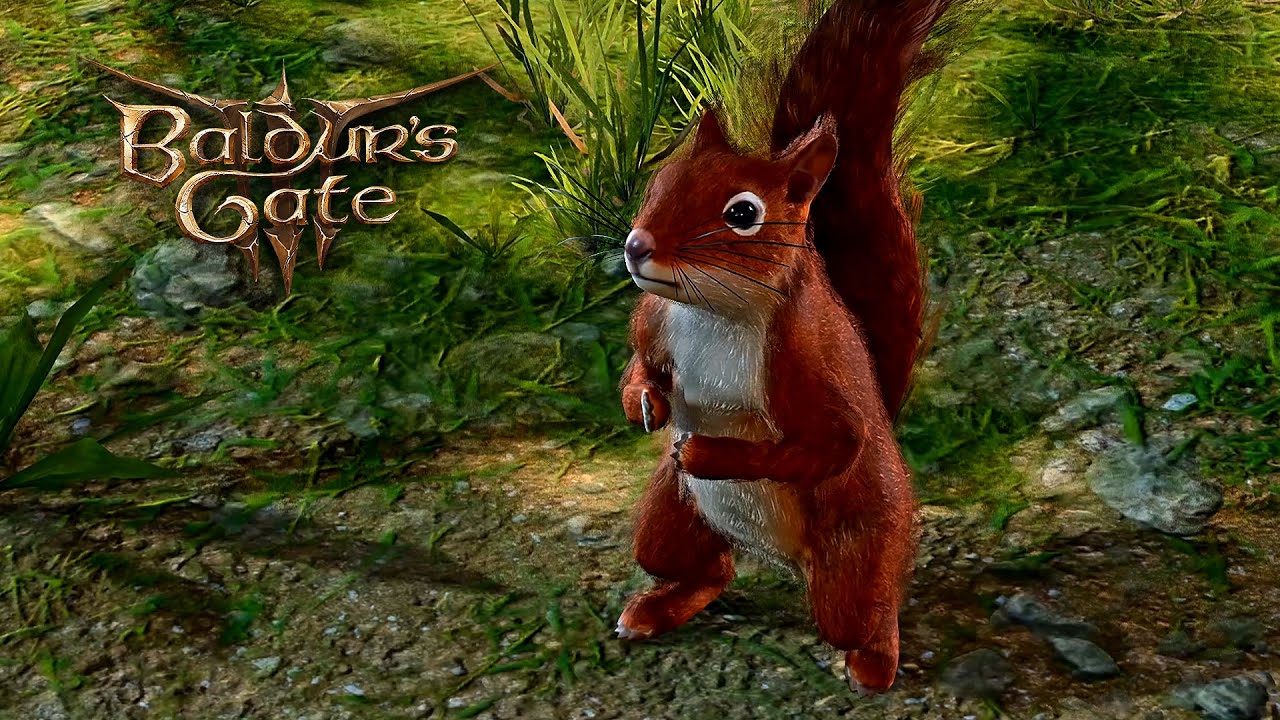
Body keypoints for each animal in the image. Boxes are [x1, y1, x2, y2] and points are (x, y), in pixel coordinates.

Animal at [613, 0, 956, 694]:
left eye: (744, 213)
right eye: (659, 181)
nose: (637, 247)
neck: (714, 310)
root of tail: (780, 559)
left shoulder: (807, 361)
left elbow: (830, 444)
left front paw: (710, 453)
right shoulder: (652, 321)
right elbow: (640, 365)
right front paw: (646, 404)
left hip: (858, 555)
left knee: (867, 610)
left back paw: (874, 664)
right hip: (671, 517)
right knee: (703, 571)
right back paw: (656, 608)